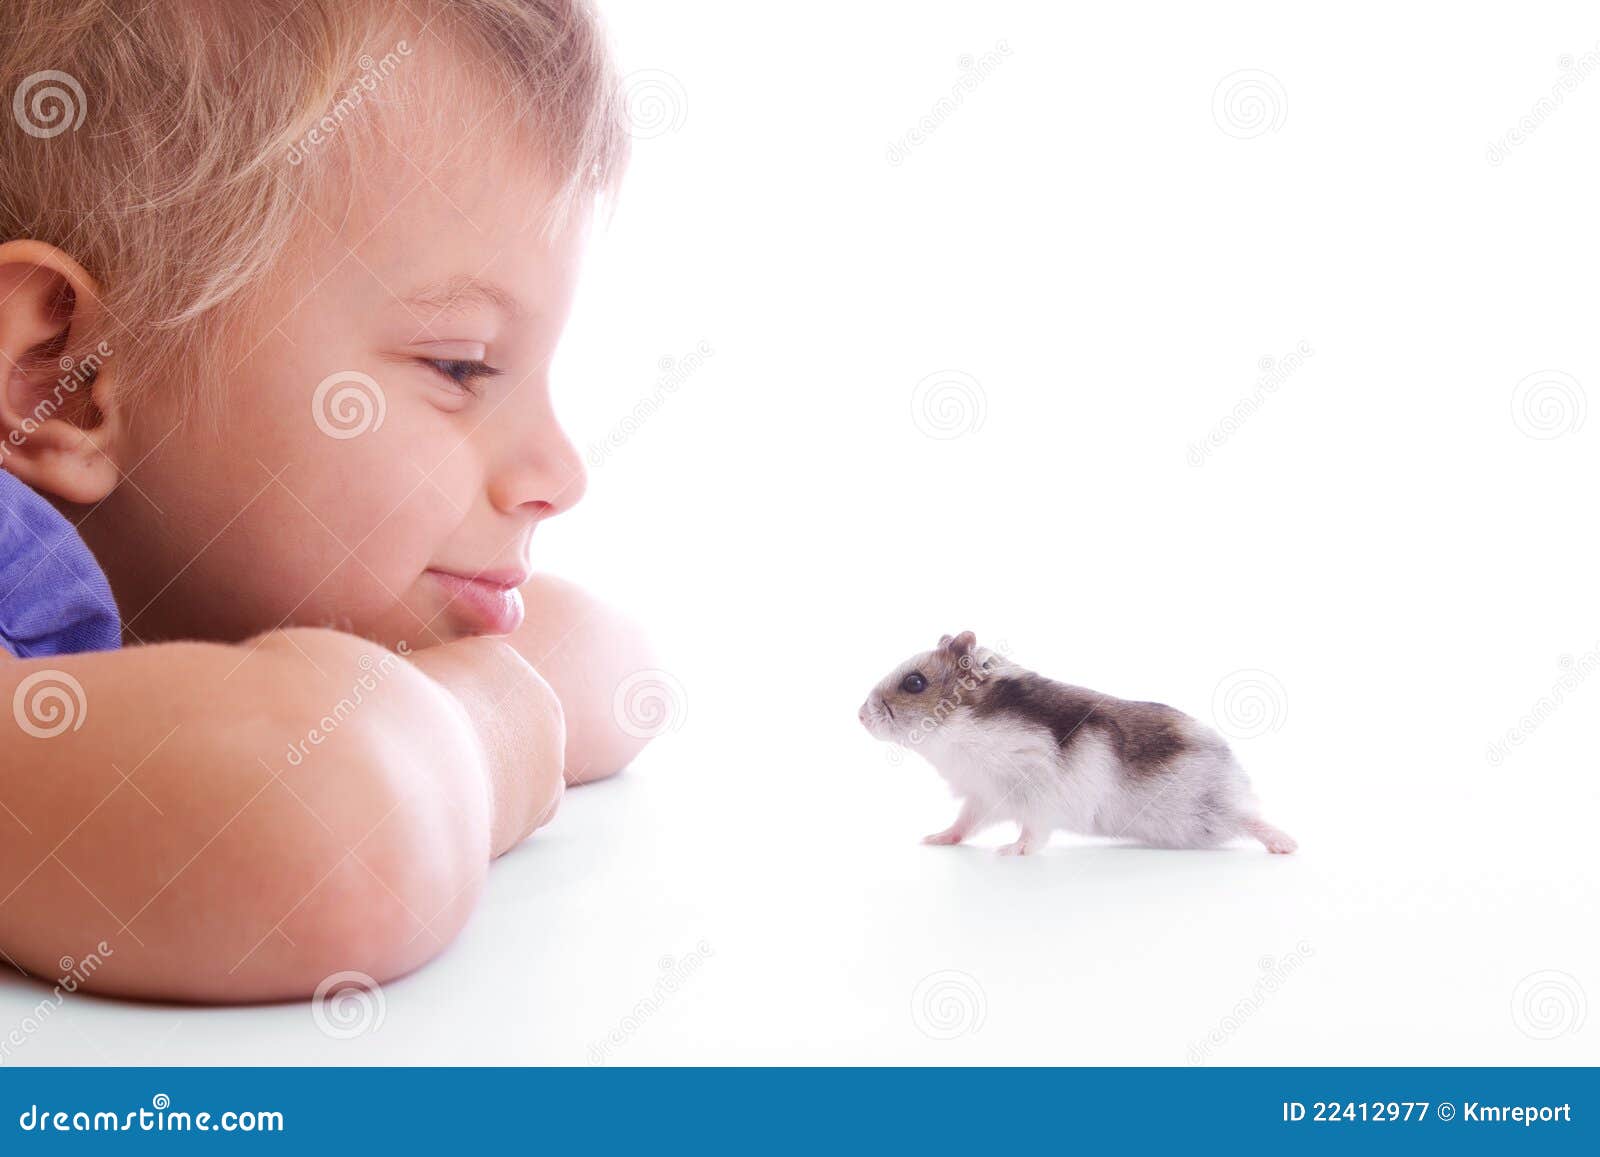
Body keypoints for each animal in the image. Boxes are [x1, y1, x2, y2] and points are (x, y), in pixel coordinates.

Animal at [857, 631, 1297, 856]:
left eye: (914, 683)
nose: (860, 716)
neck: (958, 732)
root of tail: (1234, 772)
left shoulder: (1033, 786)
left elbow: (1032, 832)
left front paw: (1010, 851)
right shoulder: (983, 795)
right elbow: (963, 823)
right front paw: (933, 839)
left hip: (1205, 806)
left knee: (1249, 817)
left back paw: (1286, 845)